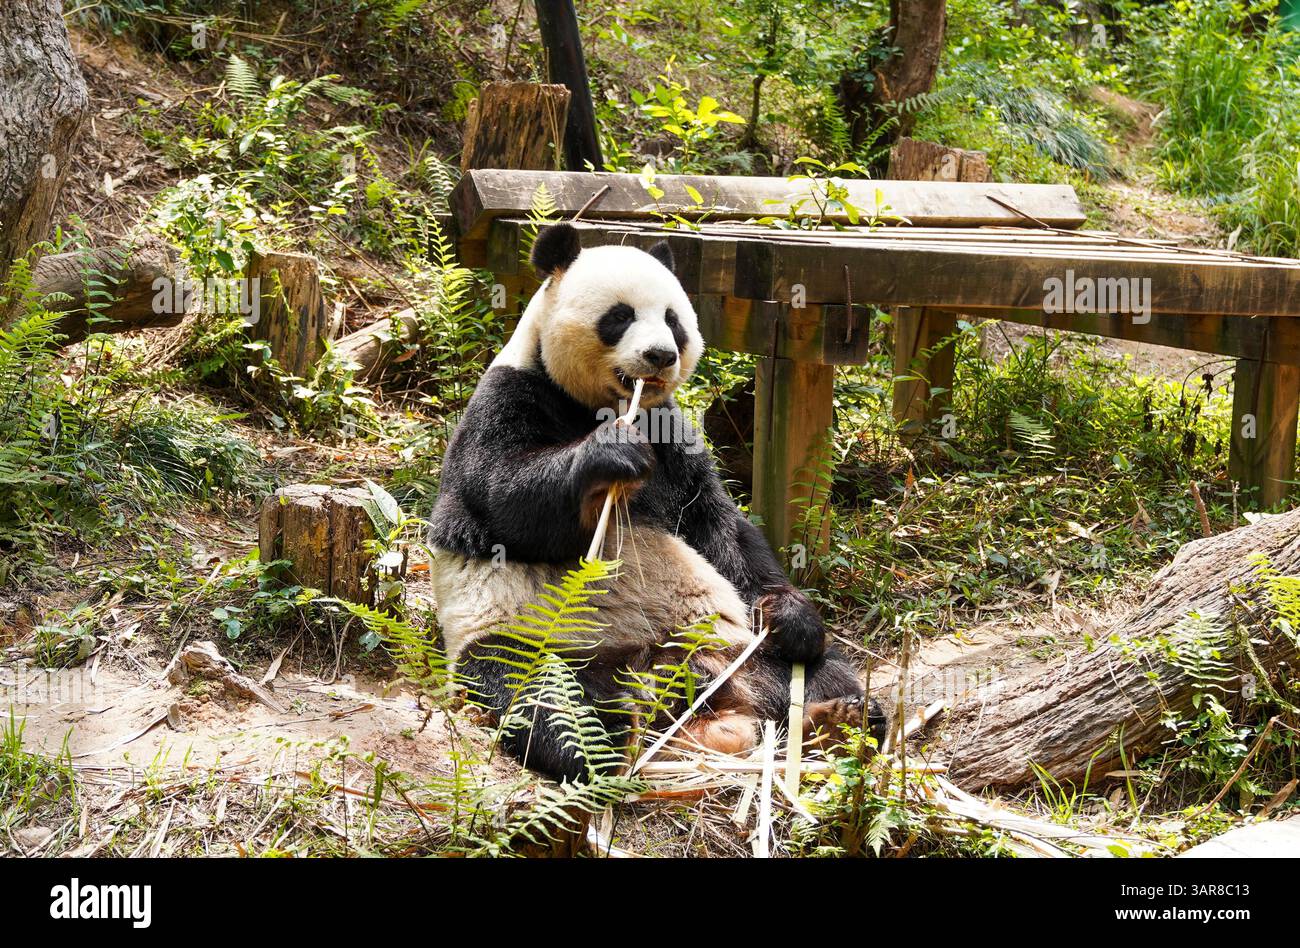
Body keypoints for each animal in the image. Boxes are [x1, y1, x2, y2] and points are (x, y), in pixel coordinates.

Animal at [428, 222, 885, 782]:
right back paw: (609, 738)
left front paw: (789, 613)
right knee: (539, 693)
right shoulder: (510, 398)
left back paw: (838, 717)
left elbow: (717, 526)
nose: (661, 356)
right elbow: (504, 504)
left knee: (815, 672)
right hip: (532, 635)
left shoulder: (672, 432)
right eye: (620, 316)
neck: (601, 406)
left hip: (731, 644)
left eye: (673, 320)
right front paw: (610, 455)